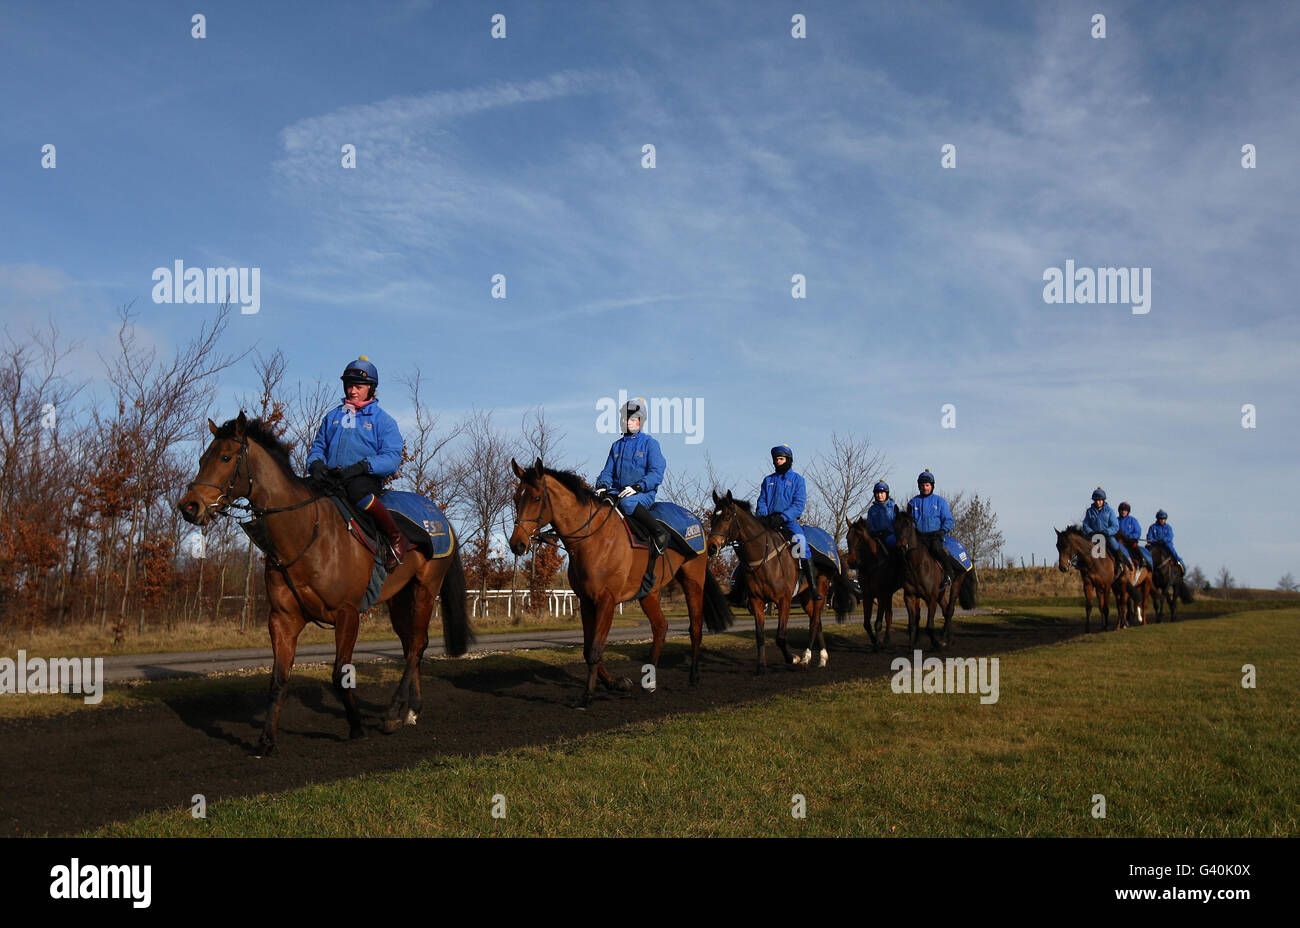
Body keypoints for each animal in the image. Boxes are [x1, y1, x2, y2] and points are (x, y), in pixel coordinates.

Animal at [177, 413, 472, 755]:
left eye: (225, 457)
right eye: (202, 459)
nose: (189, 507)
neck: (305, 534)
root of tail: (439, 516)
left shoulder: (347, 614)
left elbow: (339, 674)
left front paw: (357, 727)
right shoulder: (282, 619)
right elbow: (278, 680)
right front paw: (266, 740)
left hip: (426, 588)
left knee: (414, 648)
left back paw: (393, 714)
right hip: (400, 597)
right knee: (415, 643)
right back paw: (411, 709)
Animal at [507, 459, 732, 707]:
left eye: (537, 498)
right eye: (516, 497)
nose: (517, 544)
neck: (592, 538)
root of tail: (695, 522)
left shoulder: (606, 600)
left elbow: (595, 648)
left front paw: (587, 696)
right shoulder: (586, 601)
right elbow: (587, 648)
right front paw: (615, 683)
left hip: (693, 582)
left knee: (695, 628)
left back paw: (693, 676)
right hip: (649, 593)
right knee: (660, 627)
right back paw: (649, 681)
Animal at [705, 491, 855, 673]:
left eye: (727, 518)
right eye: (712, 518)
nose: (711, 547)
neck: (765, 558)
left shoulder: (784, 600)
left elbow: (780, 637)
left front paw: (793, 658)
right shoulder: (756, 601)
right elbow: (760, 635)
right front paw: (761, 667)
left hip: (820, 590)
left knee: (814, 623)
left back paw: (806, 657)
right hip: (805, 598)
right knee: (817, 621)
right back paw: (822, 657)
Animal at [845, 517, 901, 651]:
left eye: (860, 538)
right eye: (847, 537)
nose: (852, 561)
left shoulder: (881, 595)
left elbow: (878, 623)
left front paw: (877, 645)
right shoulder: (867, 595)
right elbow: (866, 623)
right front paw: (875, 640)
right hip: (889, 595)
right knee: (889, 615)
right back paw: (886, 639)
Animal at [892, 509, 977, 649]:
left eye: (908, 524)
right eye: (894, 525)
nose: (901, 547)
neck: (916, 565)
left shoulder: (931, 597)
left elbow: (929, 626)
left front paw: (936, 644)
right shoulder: (910, 597)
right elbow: (912, 624)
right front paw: (912, 646)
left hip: (956, 583)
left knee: (950, 610)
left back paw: (945, 639)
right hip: (940, 592)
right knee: (945, 609)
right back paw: (948, 638)